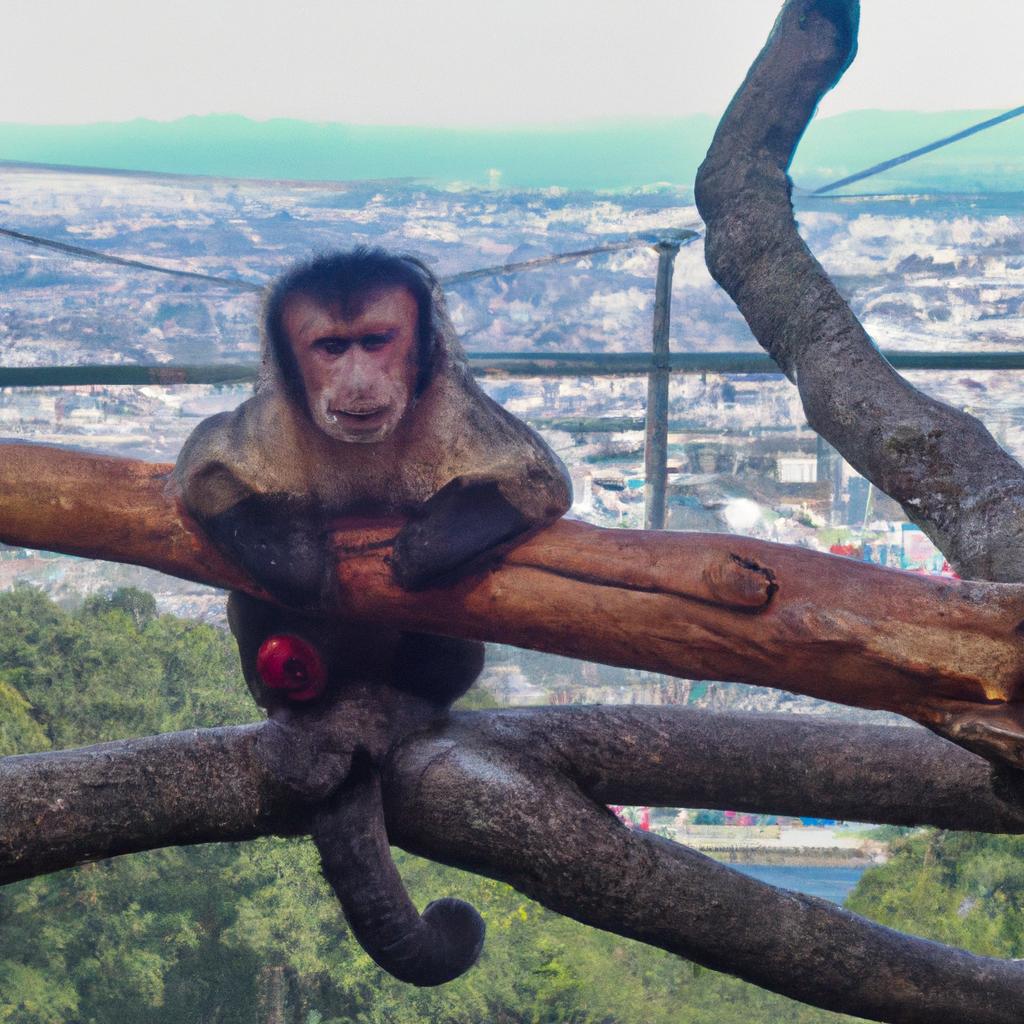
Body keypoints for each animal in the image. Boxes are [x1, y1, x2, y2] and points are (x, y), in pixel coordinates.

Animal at [172, 248, 572, 985]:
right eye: (332, 348)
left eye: (376, 341)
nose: (357, 379)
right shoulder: (275, 417)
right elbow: (202, 472)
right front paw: (288, 549)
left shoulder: (449, 408)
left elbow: (537, 485)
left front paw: (424, 545)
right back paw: (300, 708)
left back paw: (400, 703)